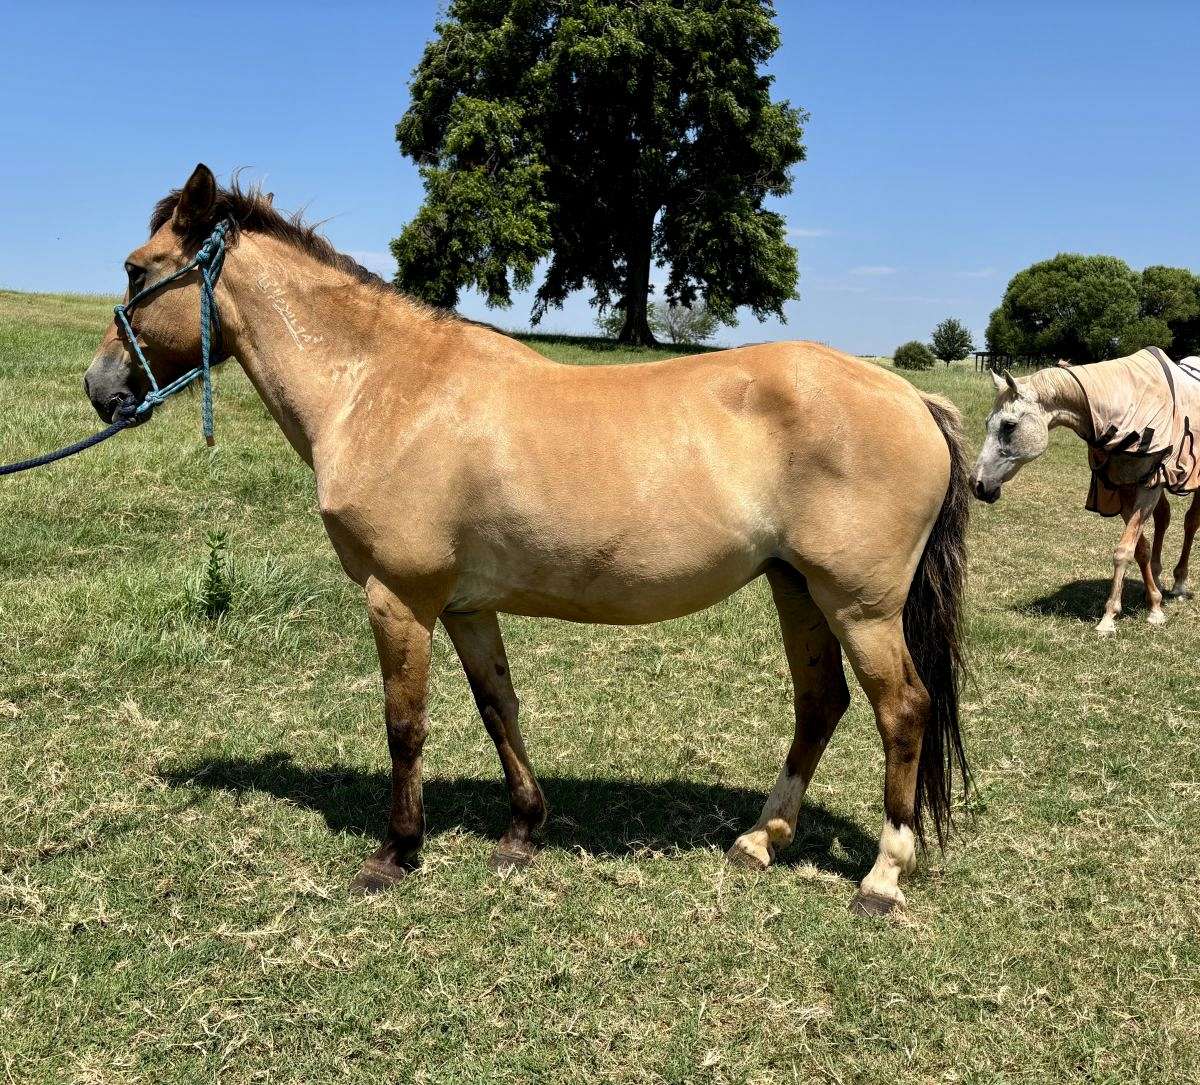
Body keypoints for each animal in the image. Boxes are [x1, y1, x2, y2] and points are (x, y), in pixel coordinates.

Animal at [83, 164, 971, 914]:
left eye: (136, 270)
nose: (100, 387)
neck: (379, 385)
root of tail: (912, 397)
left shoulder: (399, 597)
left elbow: (405, 723)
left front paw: (394, 853)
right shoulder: (466, 606)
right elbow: (497, 707)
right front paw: (521, 831)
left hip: (859, 606)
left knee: (902, 709)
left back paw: (882, 877)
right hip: (797, 588)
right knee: (821, 703)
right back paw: (760, 840)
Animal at [970, 365, 1200, 635]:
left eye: (1008, 425)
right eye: (987, 423)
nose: (977, 484)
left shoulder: (1148, 488)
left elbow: (1124, 550)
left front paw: (1111, 617)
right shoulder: (1124, 487)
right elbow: (1140, 548)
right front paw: (1153, 602)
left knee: (1190, 522)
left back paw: (1180, 583)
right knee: (1164, 518)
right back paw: (1157, 576)